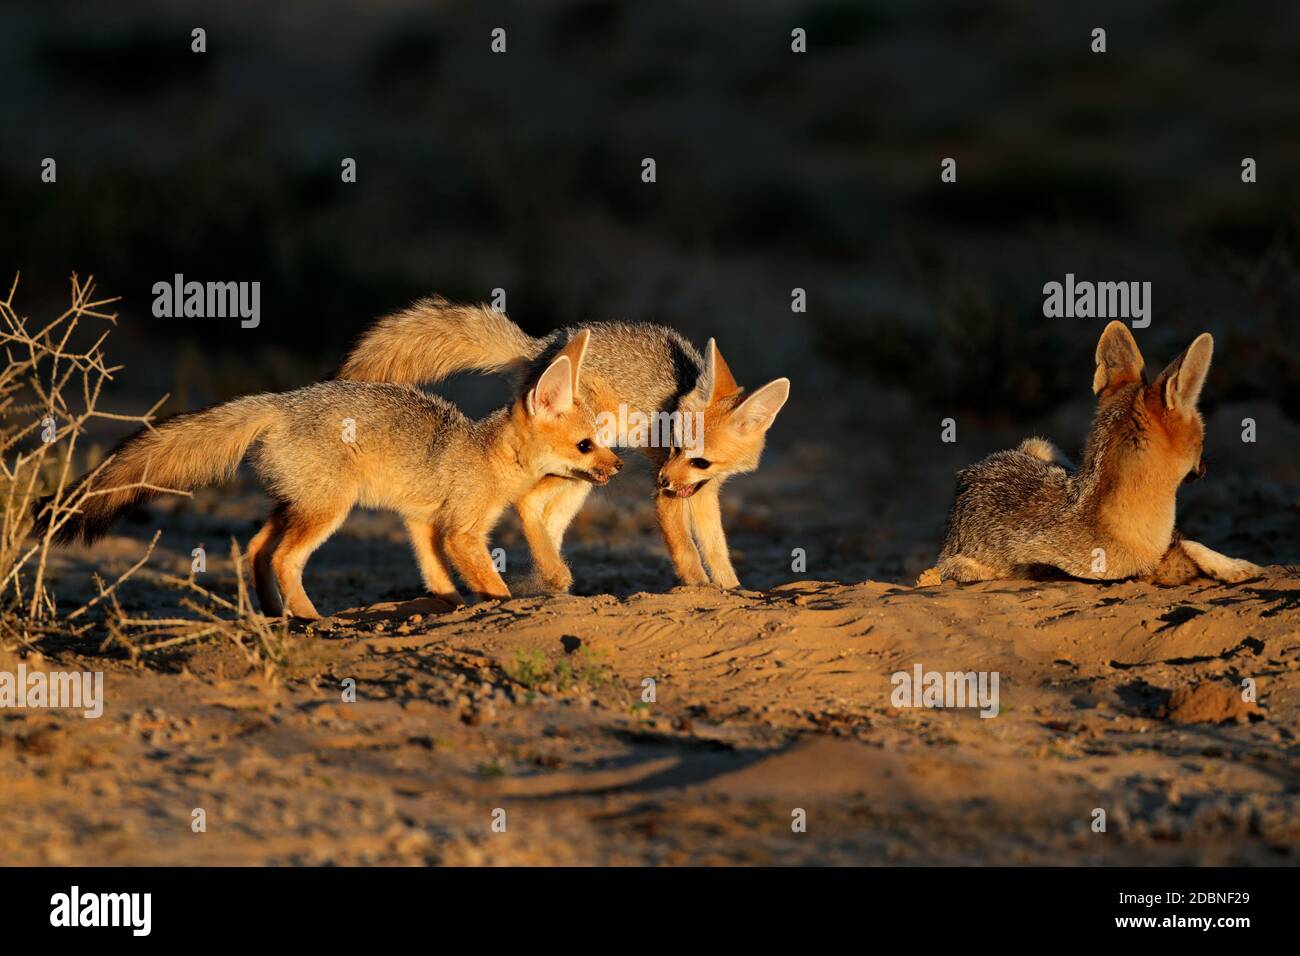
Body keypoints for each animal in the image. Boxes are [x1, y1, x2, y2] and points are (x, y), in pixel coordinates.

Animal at [36, 332, 621, 618]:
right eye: (586, 445)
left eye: (602, 441)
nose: (616, 467)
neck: (485, 452)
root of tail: (280, 401)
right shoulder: (461, 531)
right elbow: (488, 582)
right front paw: (499, 606)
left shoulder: (421, 521)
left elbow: (435, 573)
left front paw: (447, 605)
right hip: (328, 511)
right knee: (284, 558)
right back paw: (311, 616)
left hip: (295, 505)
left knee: (256, 549)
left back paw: (278, 614)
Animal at [336, 297, 790, 591]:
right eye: (674, 445)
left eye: (700, 461)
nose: (662, 479)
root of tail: (541, 346)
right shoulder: (668, 498)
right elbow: (688, 551)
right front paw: (699, 588)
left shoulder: (703, 491)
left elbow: (717, 549)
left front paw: (732, 590)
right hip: (589, 464)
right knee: (526, 502)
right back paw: (550, 578)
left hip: (589, 474)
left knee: (543, 519)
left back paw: (549, 582)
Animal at [924, 321, 1264, 586]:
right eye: (1202, 441)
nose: (1204, 467)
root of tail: (969, 473)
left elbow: (1190, 542)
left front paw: (1233, 566)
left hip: (1042, 446)